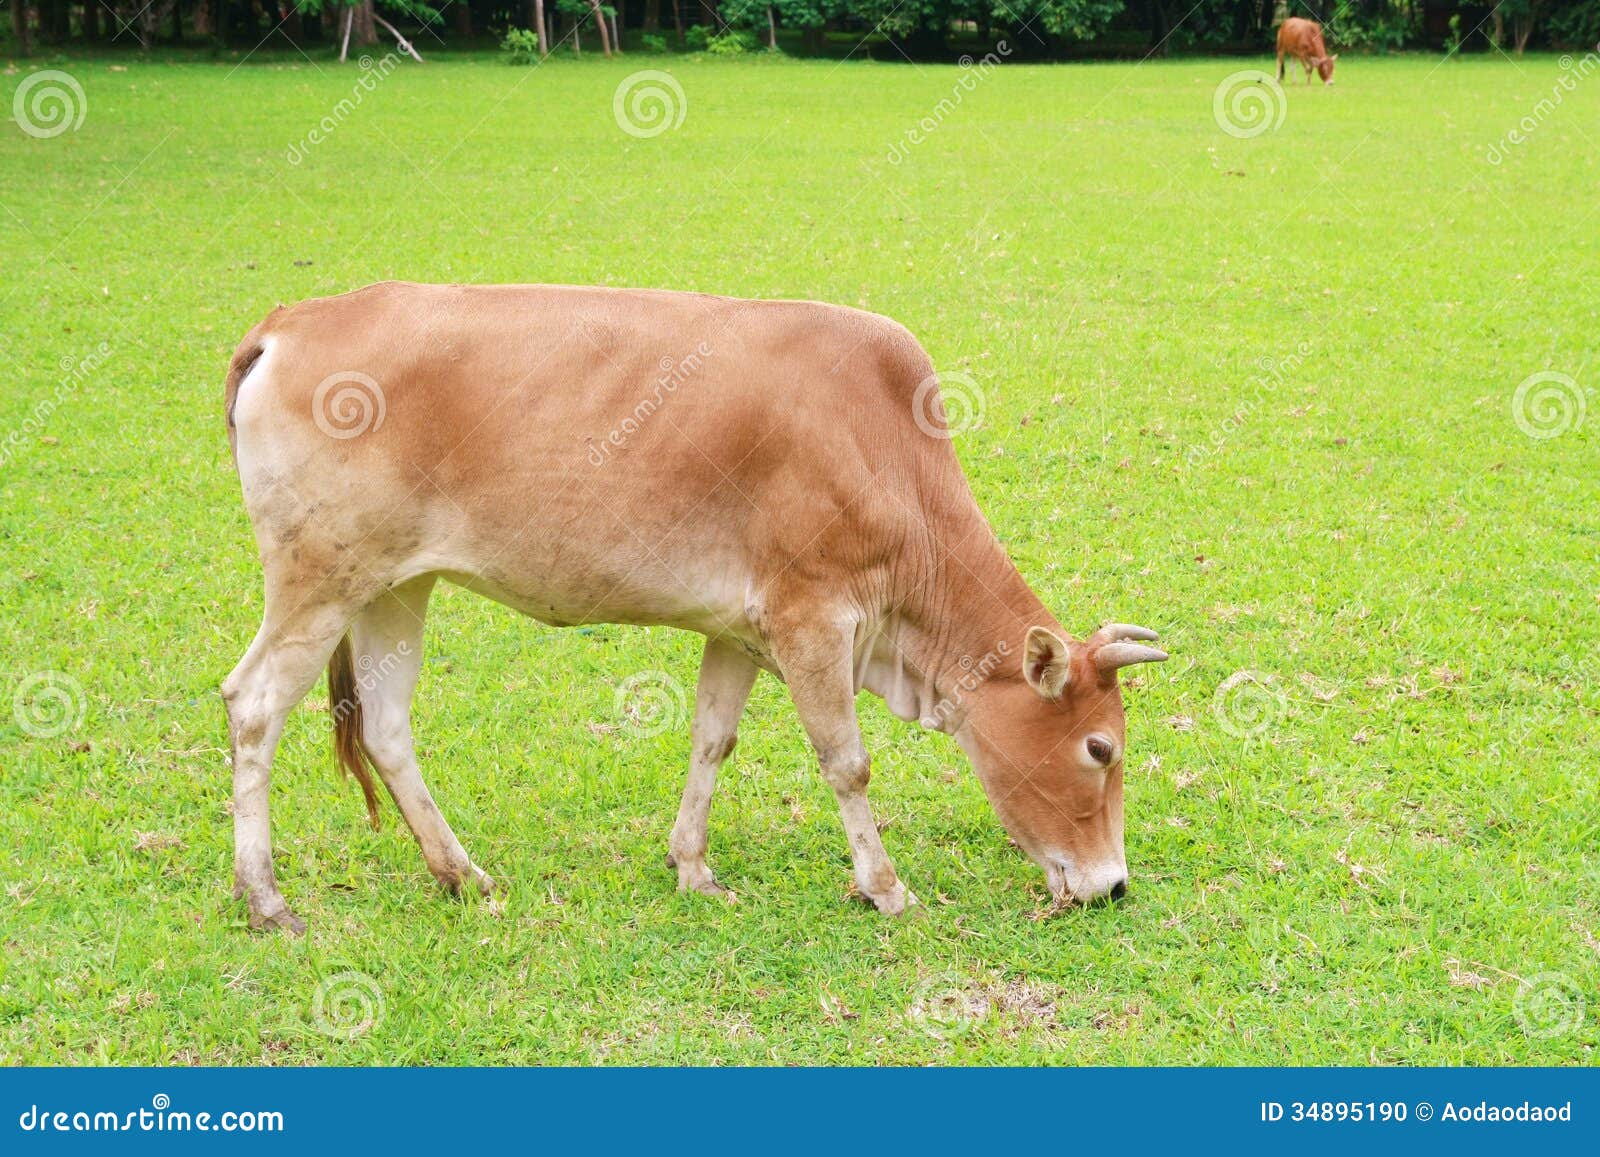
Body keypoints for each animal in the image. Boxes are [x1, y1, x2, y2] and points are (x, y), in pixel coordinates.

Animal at [221, 282, 1168, 934]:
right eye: (1099, 748)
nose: (1113, 884)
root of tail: (289, 322)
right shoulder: (812, 618)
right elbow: (848, 763)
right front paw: (885, 886)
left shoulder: (741, 632)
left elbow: (713, 740)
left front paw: (693, 867)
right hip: (318, 580)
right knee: (254, 703)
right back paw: (266, 898)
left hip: (392, 586)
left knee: (385, 726)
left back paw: (462, 874)